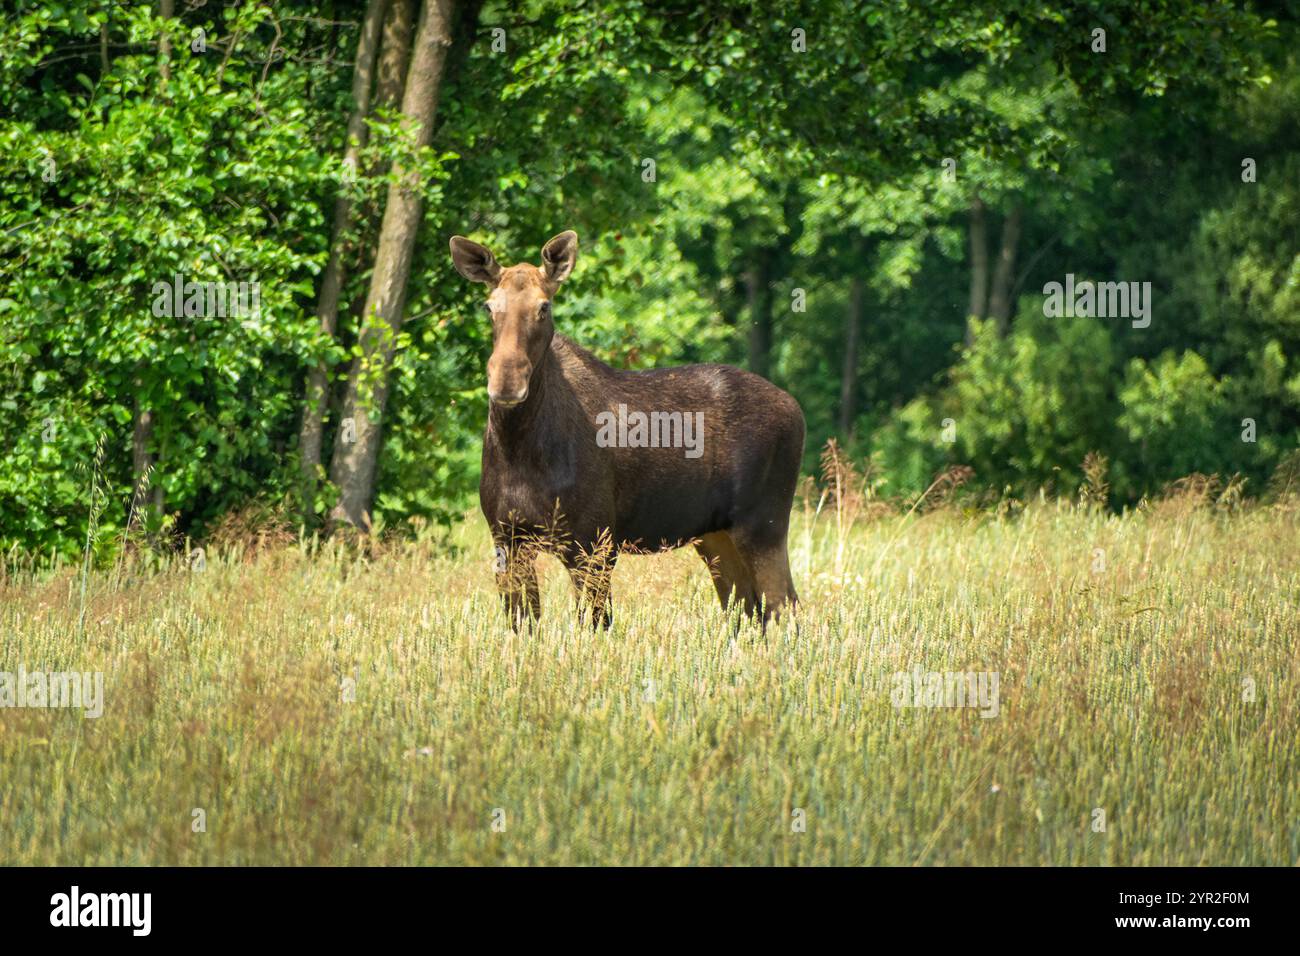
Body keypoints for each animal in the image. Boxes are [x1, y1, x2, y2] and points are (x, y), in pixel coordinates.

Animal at [449, 230, 804, 631]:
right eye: (488, 306)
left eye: (544, 306)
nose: (506, 382)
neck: (520, 448)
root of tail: (795, 408)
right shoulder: (507, 540)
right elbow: (524, 626)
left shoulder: (594, 542)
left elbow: (594, 625)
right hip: (715, 535)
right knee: (748, 610)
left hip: (763, 524)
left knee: (785, 606)